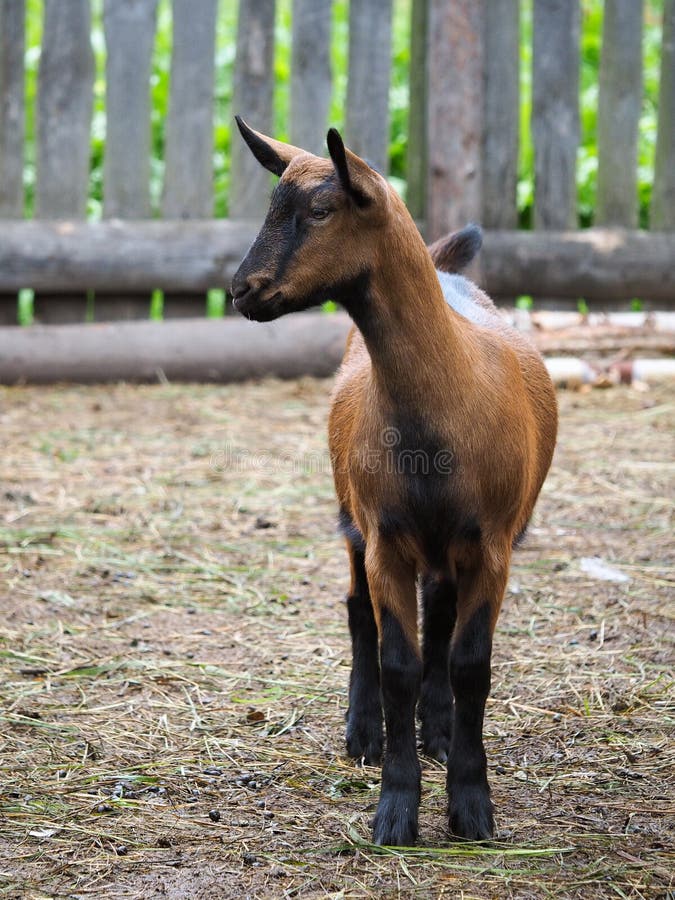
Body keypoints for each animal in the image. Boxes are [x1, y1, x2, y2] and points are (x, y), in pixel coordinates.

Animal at [230, 118, 558, 846]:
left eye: (321, 211)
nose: (240, 290)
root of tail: (448, 269)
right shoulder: (385, 539)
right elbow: (397, 662)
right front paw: (396, 808)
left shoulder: (491, 545)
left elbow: (468, 663)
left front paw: (471, 806)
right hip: (352, 513)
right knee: (360, 613)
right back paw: (366, 732)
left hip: (450, 542)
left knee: (440, 617)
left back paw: (437, 731)